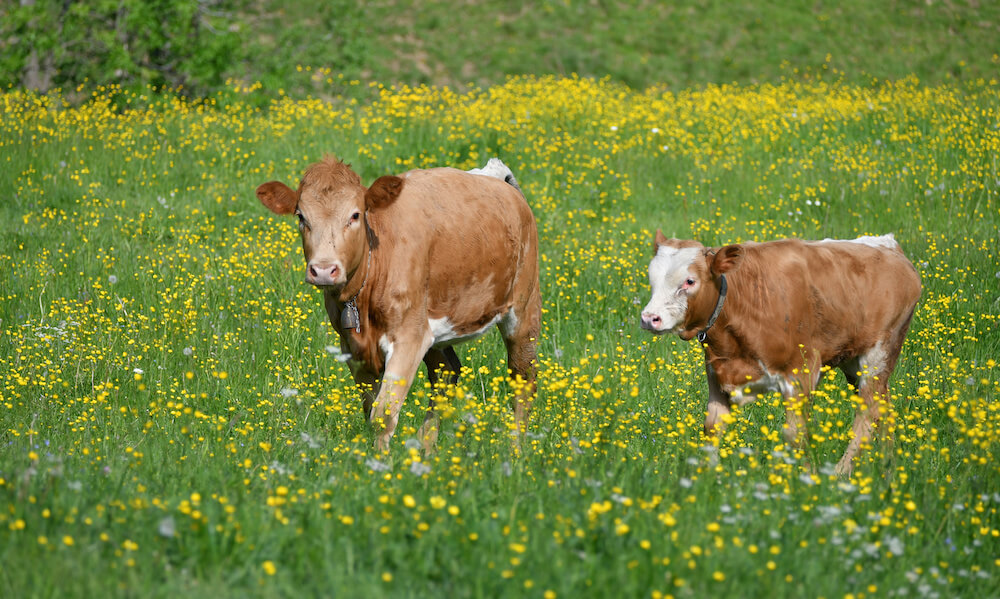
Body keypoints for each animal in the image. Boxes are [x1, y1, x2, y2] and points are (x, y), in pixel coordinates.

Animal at [256, 157, 541, 452]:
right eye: (301, 216)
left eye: (355, 215)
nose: (323, 270)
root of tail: (491, 175)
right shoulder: (353, 347)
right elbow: (369, 409)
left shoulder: (408, 337)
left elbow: (383, 414)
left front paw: (380, 461)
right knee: (447, 372)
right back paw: (425, 449)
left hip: (524, 306)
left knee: (522, 378)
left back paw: (516, 450)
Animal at [640, 231, 921, 475]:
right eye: (652, 278)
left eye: (689, 281)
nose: (649, 318)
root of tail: (888, 245)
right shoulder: (716, 373)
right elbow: (712, 427)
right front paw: (706, 477)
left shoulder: (802, 372)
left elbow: (796, 435)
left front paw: (805, 480)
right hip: (855, 362)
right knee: (883, 410)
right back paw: (888, 469)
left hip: (878, 355)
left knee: (868, 415)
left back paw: (840, 473)